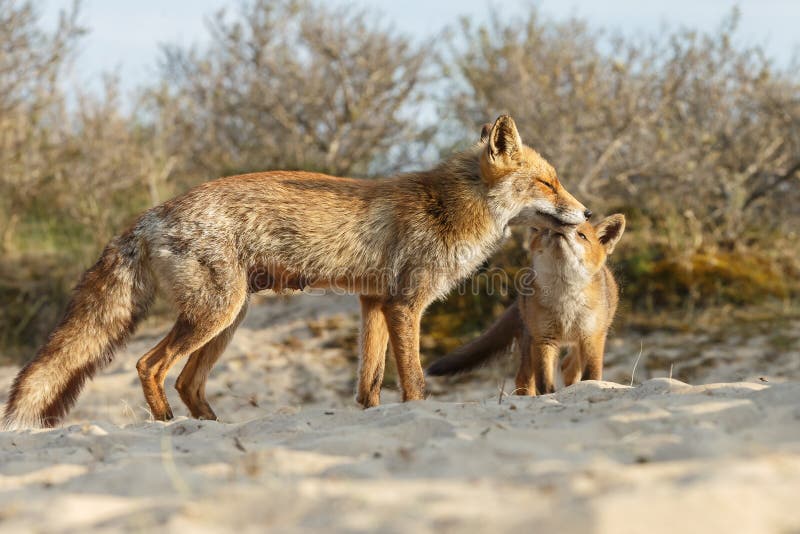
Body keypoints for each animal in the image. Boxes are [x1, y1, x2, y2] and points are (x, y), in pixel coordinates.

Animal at [2, 115, 590, 429]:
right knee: (150, 364)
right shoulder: (405, 304)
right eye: (548, 184)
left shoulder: (373, 303)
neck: (449, 206)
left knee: (188, 380)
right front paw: (418, 411)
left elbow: (369, 386)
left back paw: (211, 429)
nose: (585, 214)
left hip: (229, 319)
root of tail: (150, 215)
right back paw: (166, 425)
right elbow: (415, 383)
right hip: (214, 315)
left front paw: (372, 415)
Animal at [426, 213, 626, 395]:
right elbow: (544, 383)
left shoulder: (592, 337)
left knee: (568, 366)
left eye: (582, 235)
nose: (560, 230)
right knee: (524, 378)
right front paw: (548, 398)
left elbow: (592, 375)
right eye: (547, 229)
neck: (565, 302)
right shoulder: (543, 339)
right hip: (530, 343)